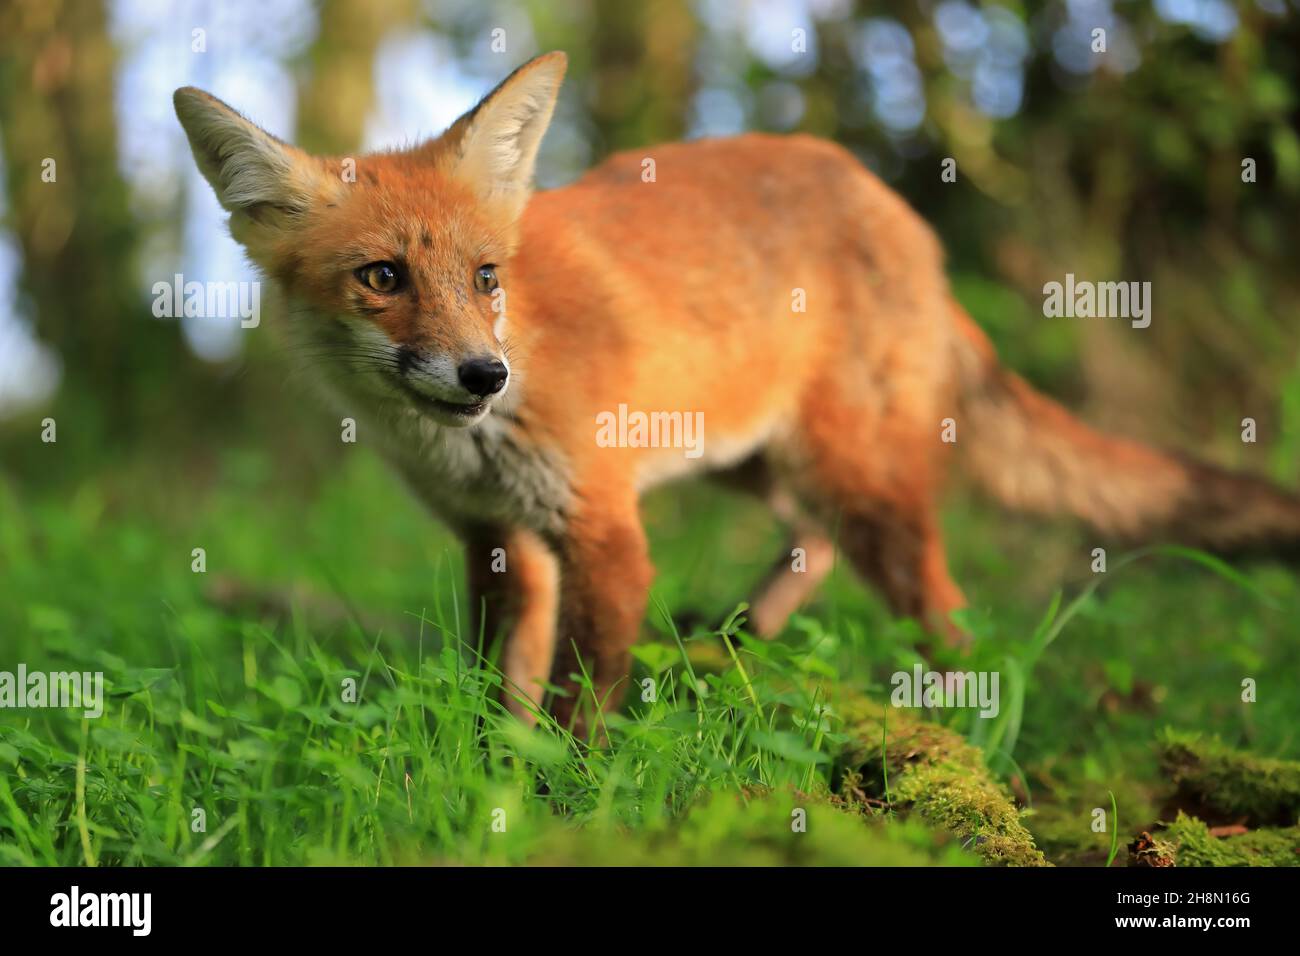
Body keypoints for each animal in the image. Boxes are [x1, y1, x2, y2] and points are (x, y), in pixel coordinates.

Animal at [174, 52, 1300, 730]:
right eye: (381, 277)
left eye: (486, 277)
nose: (484, 375)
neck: (467, 440)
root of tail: (899, 214)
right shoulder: (499, 539)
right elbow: (508, 689)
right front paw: (497, 772)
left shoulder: (605, 530)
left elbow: (580, 706)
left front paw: (562, 796)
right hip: (747, 460)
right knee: (813, 539)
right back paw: (735, 642)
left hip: (859, 477)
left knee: (944, 612)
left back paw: (948, 714)